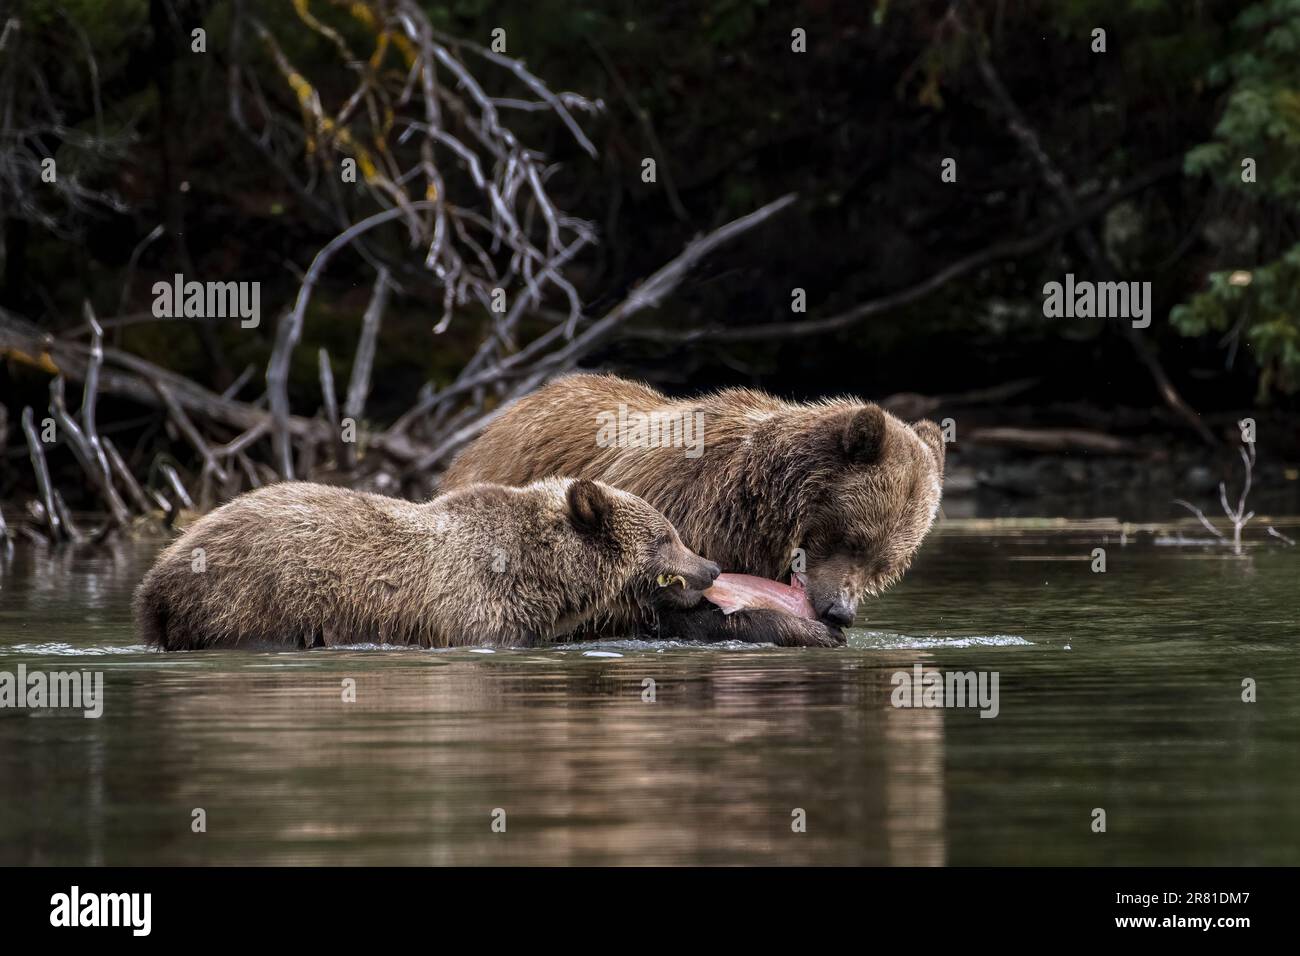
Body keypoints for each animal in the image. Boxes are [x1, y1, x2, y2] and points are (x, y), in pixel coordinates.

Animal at [441, 373, 945, 647]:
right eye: (853, 539)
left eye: (887, 563)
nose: (842, 612)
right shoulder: (676, 506)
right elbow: (656, 609)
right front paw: (803, 630)